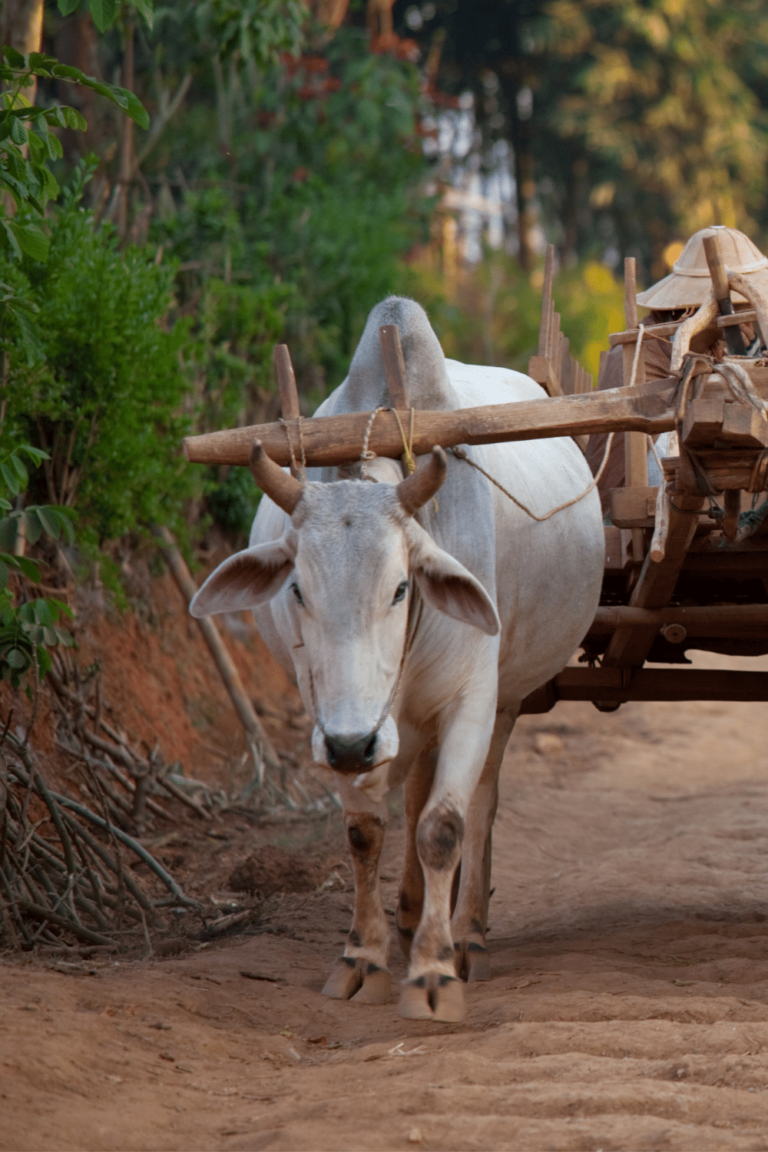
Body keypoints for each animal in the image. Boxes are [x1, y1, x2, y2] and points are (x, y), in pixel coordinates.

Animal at [190, 297, 605, 1022]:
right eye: (297, 589)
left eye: (402, 587)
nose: (353, 744)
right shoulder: (328, 713)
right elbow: (367, 831)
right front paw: (363, 958)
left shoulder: (472, 697)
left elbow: (445, 826)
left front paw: (434, 972)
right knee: (411, 797)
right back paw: (411, 918)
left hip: (504, 700)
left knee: (480, 803)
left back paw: (466, 936)